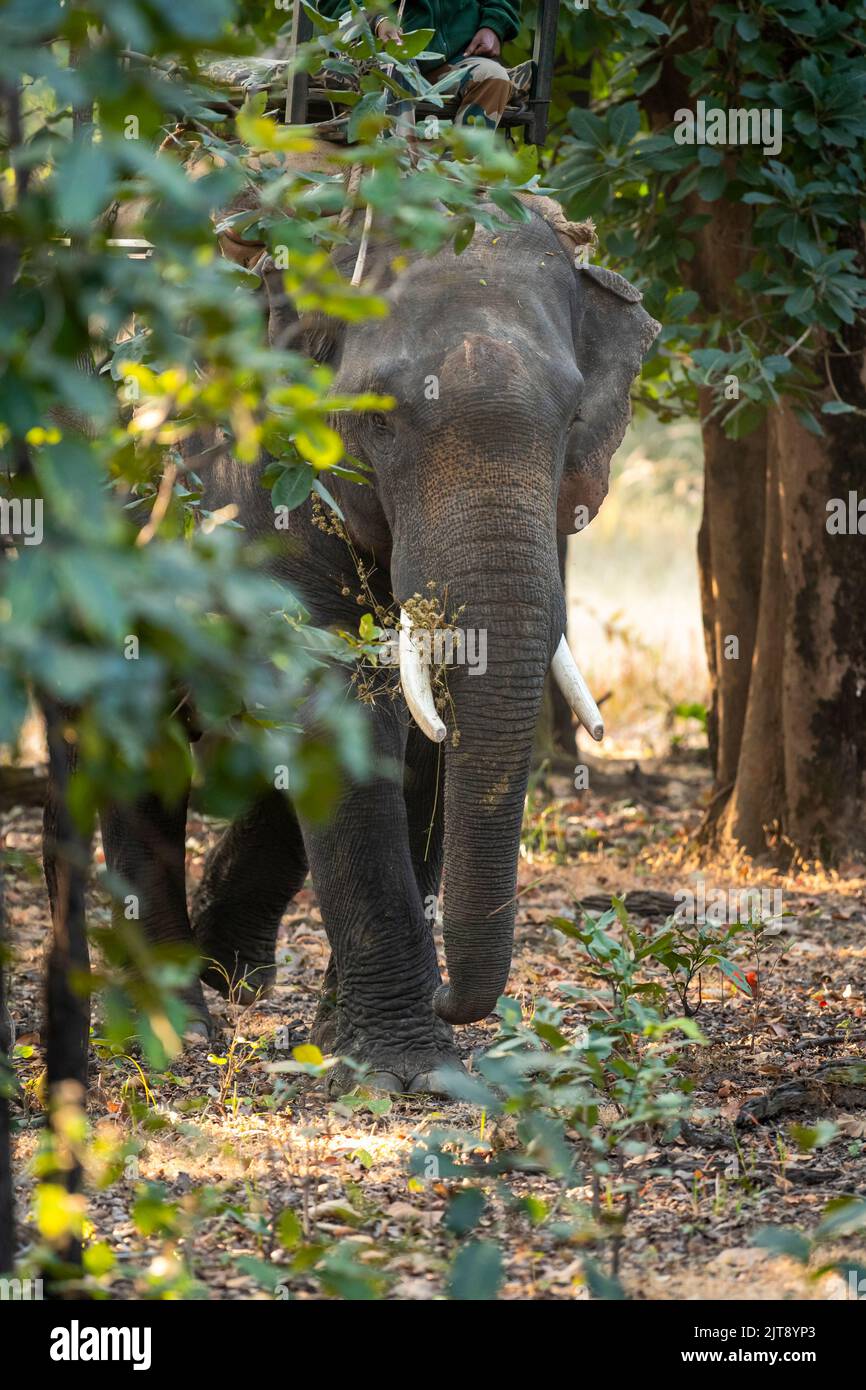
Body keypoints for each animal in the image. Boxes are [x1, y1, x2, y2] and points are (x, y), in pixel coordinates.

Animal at [58, 203, 660, 1094]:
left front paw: (349, 1041)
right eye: (377, 419)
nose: (453, 997)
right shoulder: (259, 486)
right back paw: (178, 1030)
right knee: (130, 745)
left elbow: (421, 740)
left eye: (570, 420)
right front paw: (404, 1067)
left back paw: (229, 971)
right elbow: (339, 710)